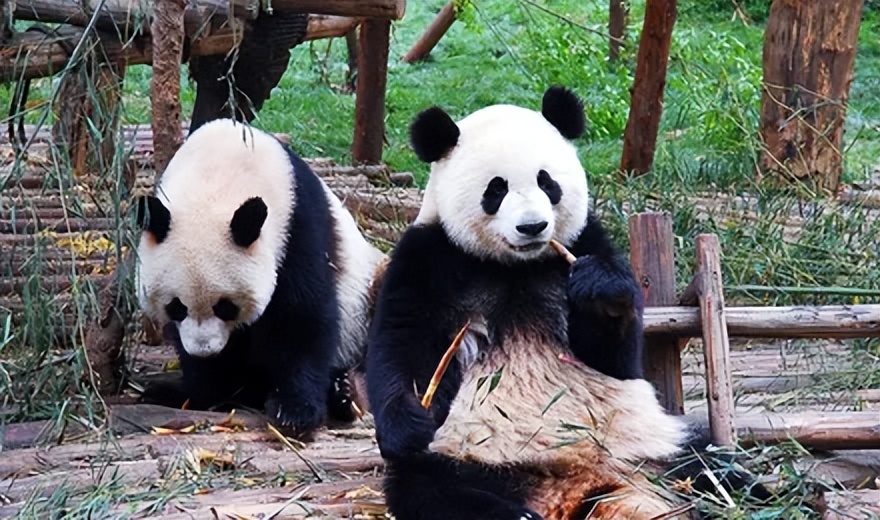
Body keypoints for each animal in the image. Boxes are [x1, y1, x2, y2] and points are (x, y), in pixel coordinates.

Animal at [135, 118, 386, 435]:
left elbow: (301, 317)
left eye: (226, 306)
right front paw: (198, 391)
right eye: (176, 307)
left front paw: (294, 411)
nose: (205, 351)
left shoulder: (298, 229)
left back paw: (346, 393)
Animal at [365, 86, 763, 519]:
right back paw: (514, 513)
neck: (516, 266)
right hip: (468, 456)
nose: (533, 227)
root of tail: (580, 479)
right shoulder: (430, 259)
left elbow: (614, 356)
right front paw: (409, 421)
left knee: (711, 463)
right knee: (430, 487)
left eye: (547, 182)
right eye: (496, 189)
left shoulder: (585, 241)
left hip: (656, 442)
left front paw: (601, 290)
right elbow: (404, 344)